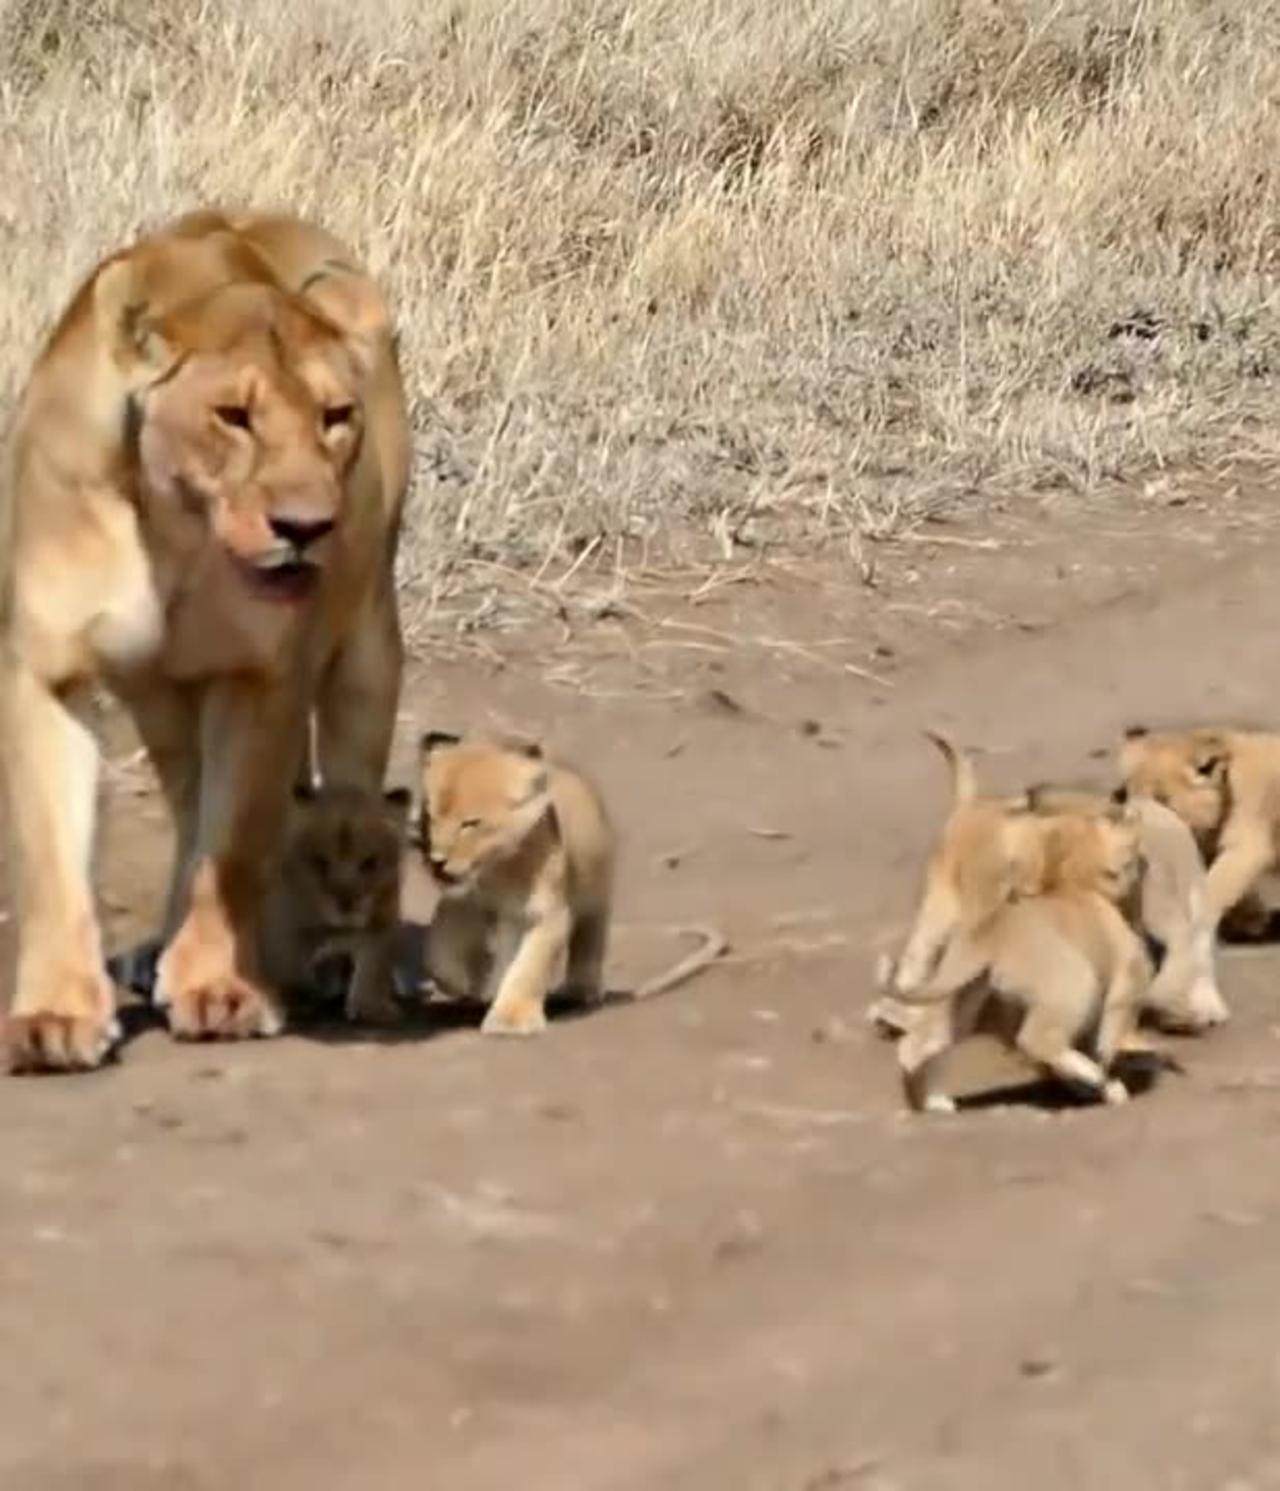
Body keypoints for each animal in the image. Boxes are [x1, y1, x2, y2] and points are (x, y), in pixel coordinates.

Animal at [260, 782, 411, 1025]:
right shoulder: (284, 924)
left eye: (370, 863)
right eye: (320, 862)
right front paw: (297, 999)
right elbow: (289, 964)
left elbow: (373, 966)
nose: (346, 903)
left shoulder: (383, 923)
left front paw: (372, 1008)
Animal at [416, 732, 726, 1035]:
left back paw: (580, 989)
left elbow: (529, 967)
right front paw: (464, 984)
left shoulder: (548, 914)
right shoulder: (464, 902)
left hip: (596, 896)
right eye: (431, 817)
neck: (499, 869)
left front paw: (511, 1018)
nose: (436, 861)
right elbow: (440, 950)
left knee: (589, 941)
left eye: (470, 823)